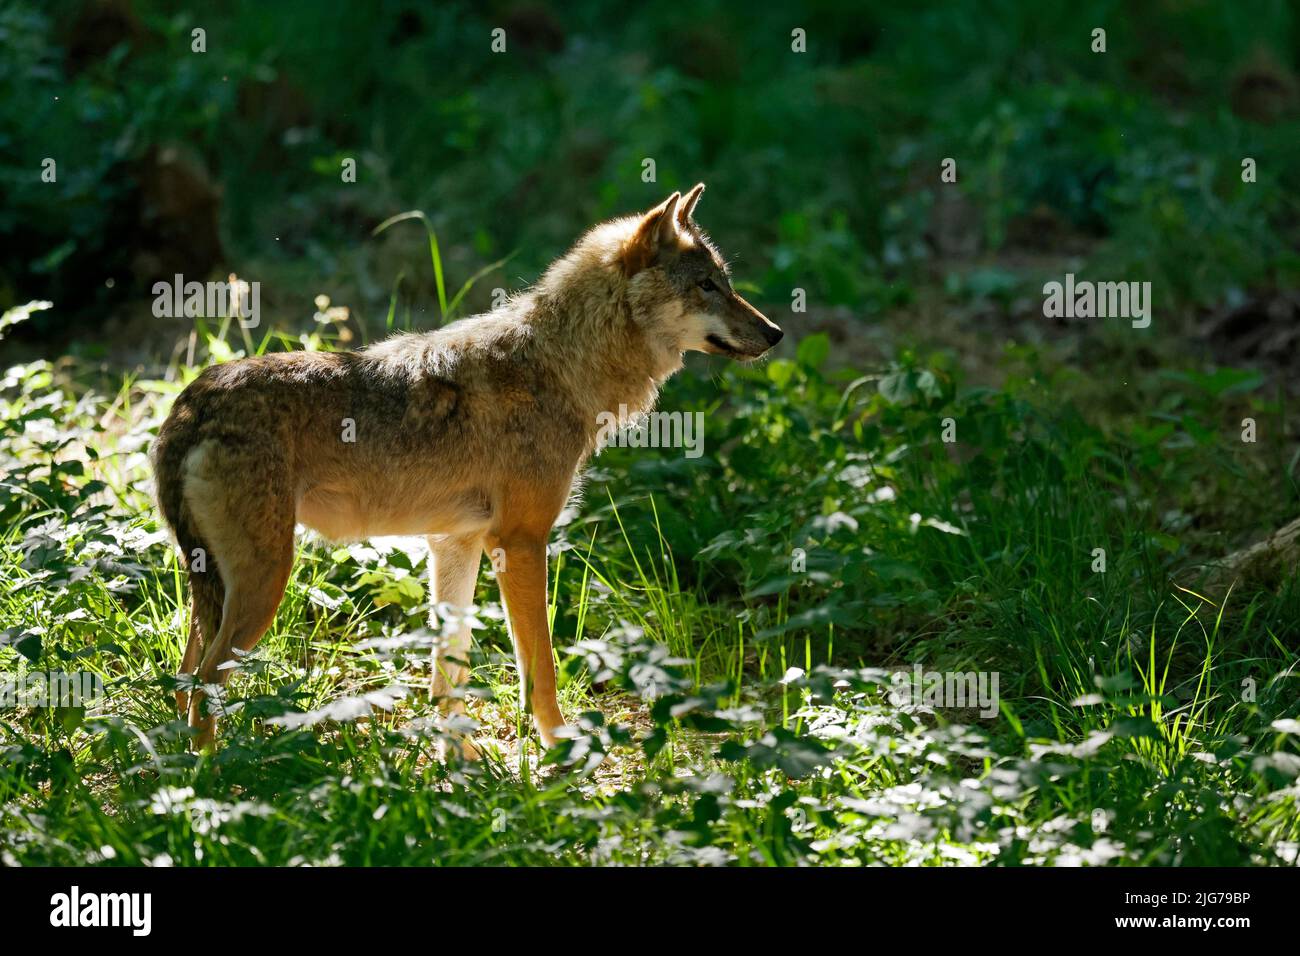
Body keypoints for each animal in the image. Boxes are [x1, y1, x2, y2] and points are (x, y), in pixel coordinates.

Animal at [151, 184, 783, 751]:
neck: (561, 366)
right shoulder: (520, 542)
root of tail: (189, 403)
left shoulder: (455, 544)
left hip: (219, 587)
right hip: (264, 584)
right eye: (707, 286)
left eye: (727, 283)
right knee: (203, 689)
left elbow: (447, 673)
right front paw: (559, 750)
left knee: (181, 683)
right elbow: (540, 668)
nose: (776, 332)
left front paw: (459, 762)